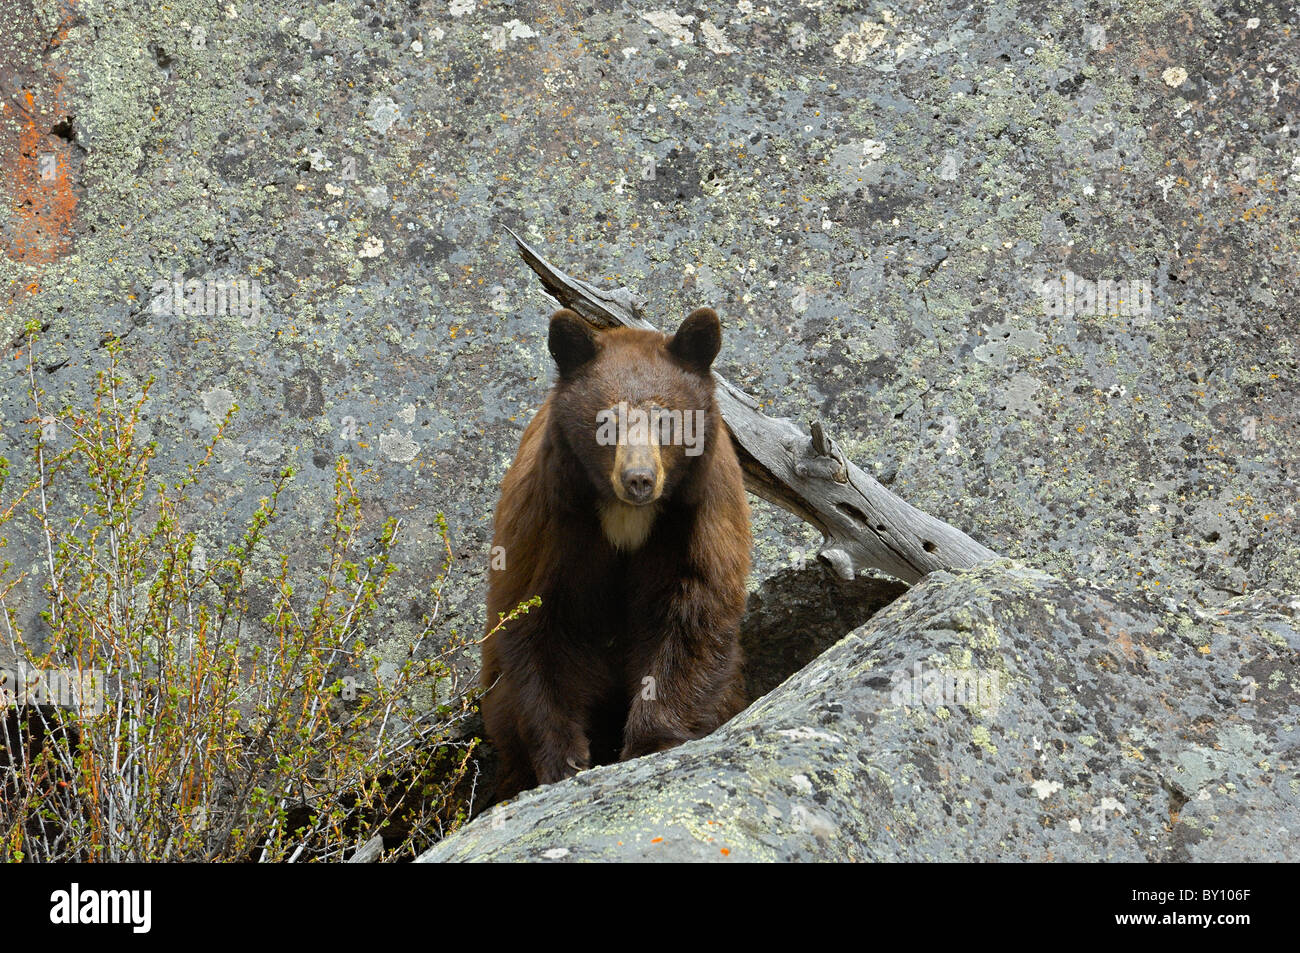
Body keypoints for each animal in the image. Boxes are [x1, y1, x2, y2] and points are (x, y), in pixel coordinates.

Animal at [481, 306, 751, 802]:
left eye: (666, 419)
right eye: (606, 420)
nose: (639, 478)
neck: (626, 516)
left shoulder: (694, 520)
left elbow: (692, 618)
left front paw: (651, 739)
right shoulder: (551, 522)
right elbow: (534, 623)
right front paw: (564, 758)